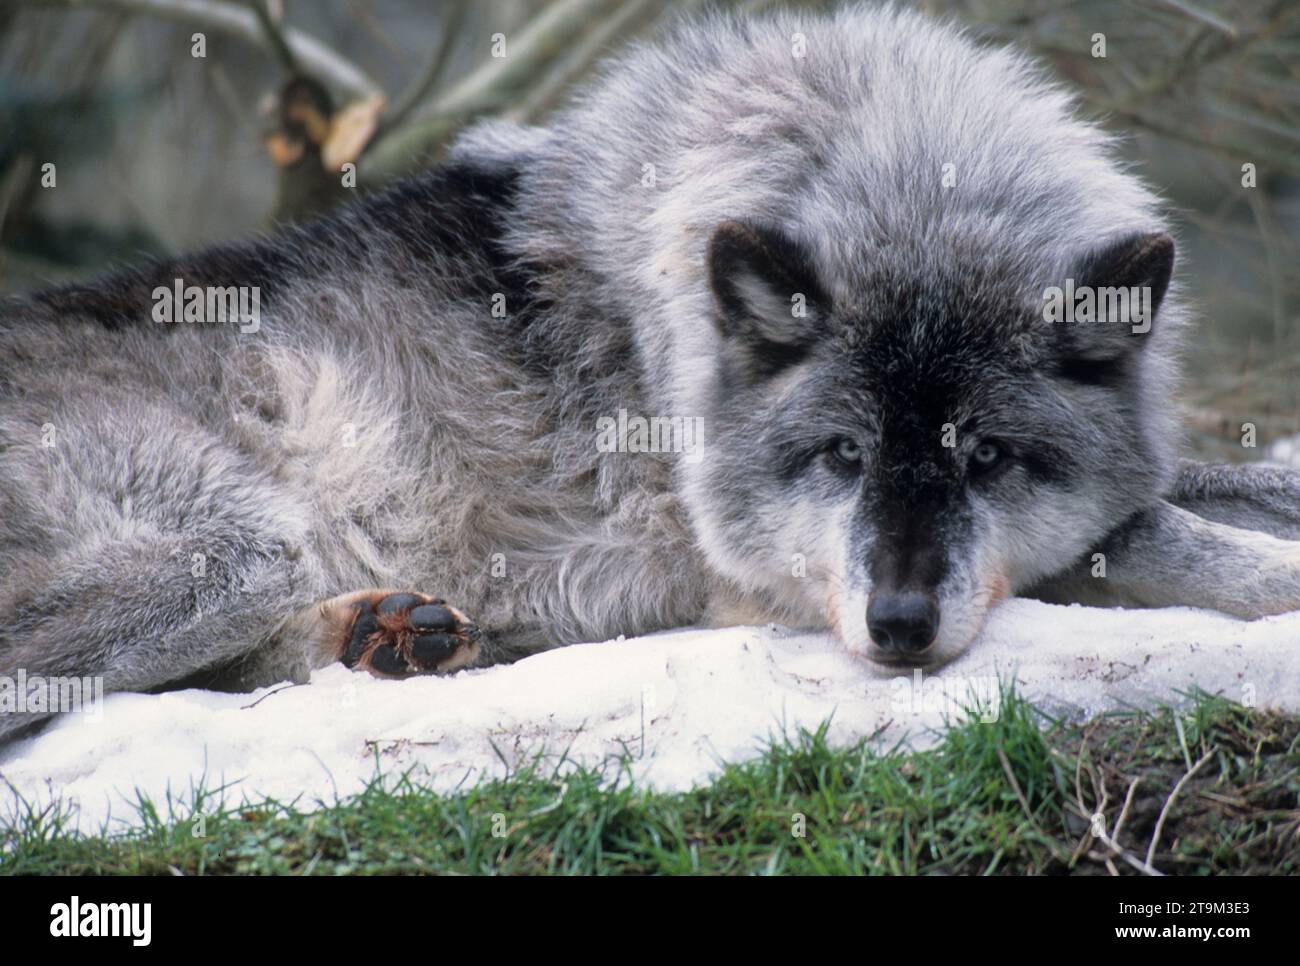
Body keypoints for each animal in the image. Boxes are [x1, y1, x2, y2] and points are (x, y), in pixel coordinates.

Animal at [2, 5, 1299, 742]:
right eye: (841, 457)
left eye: (987, 460)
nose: (897, 626)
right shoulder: (764, 584)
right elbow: (1163, 534)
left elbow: (1215, 487)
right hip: (239, 549)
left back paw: (384, 632)